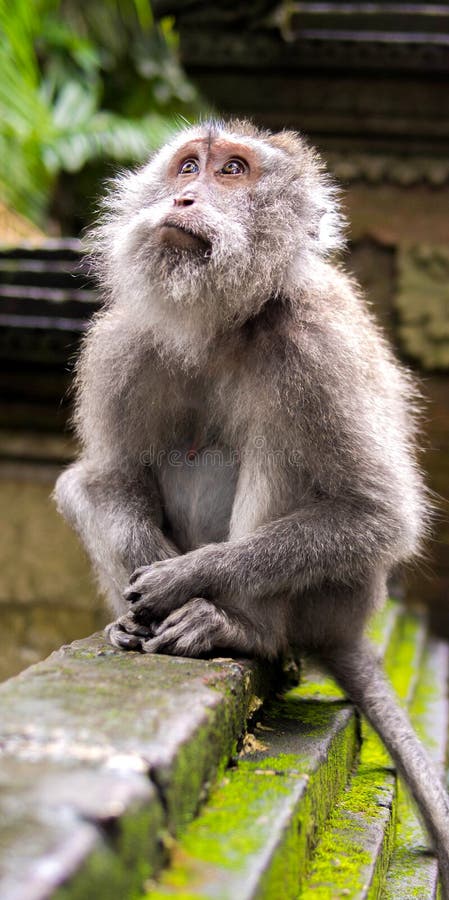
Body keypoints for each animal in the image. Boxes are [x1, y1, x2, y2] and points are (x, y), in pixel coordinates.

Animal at [54, 119, 449, 891]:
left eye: (231, 170)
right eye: (188, 166)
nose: (184, 196)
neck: (222, 321)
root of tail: (345, 631)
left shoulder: (317, 342)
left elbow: (375, 514)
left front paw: (183, 579)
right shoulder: (120, 344)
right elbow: (105, 480)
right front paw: (146, 582)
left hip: (330, 599)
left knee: (278, 444)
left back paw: (244, 631)